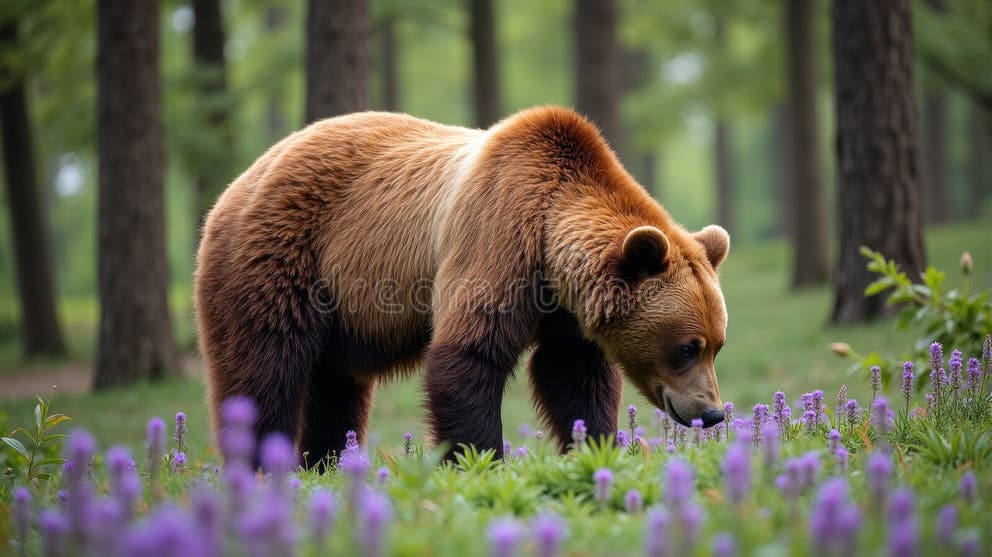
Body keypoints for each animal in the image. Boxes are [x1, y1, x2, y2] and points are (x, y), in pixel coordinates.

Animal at [195, 106, 729, 466]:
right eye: (686, 347)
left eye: (717, 345)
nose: (712, 413)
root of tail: (237, 183)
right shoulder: (497, 235)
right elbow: (470, 354)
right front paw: (480, 460)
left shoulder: (566, 314)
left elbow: (574, 376)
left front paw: (594, 447)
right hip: (278, 258)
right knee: (265, 369)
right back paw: (264, 468)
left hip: (338, 311)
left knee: (334, 389)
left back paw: (324, 464)